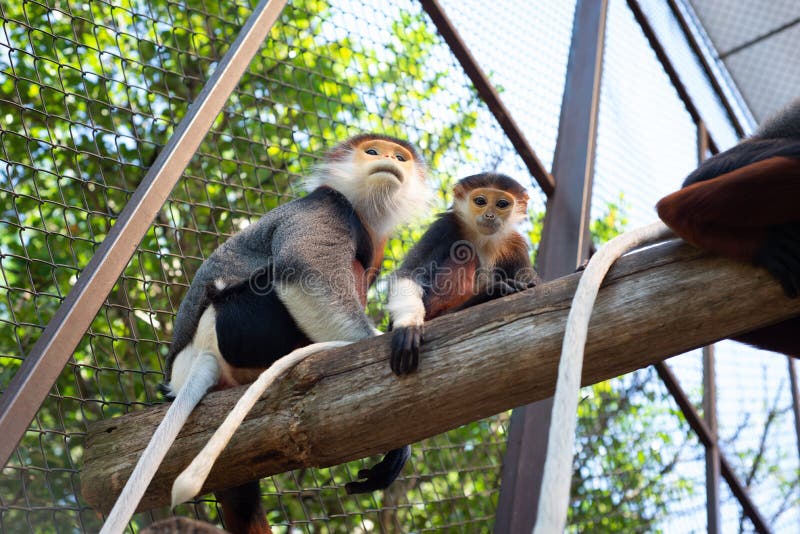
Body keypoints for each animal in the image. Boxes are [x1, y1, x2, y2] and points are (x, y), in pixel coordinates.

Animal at [99, 134, 428, 534]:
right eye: (373, 151)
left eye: (400, 157)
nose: (389, 161)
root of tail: (193, 357)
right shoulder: (328, 207)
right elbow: (304, 272)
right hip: (241, 323)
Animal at [342, 173, 541, 494]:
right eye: (480, 200)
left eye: (502, 204)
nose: (489, 215)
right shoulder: (444, 227)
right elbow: (407, 275)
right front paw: (408, 327)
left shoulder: (515, 244)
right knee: (464, 253)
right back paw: (483, 297)